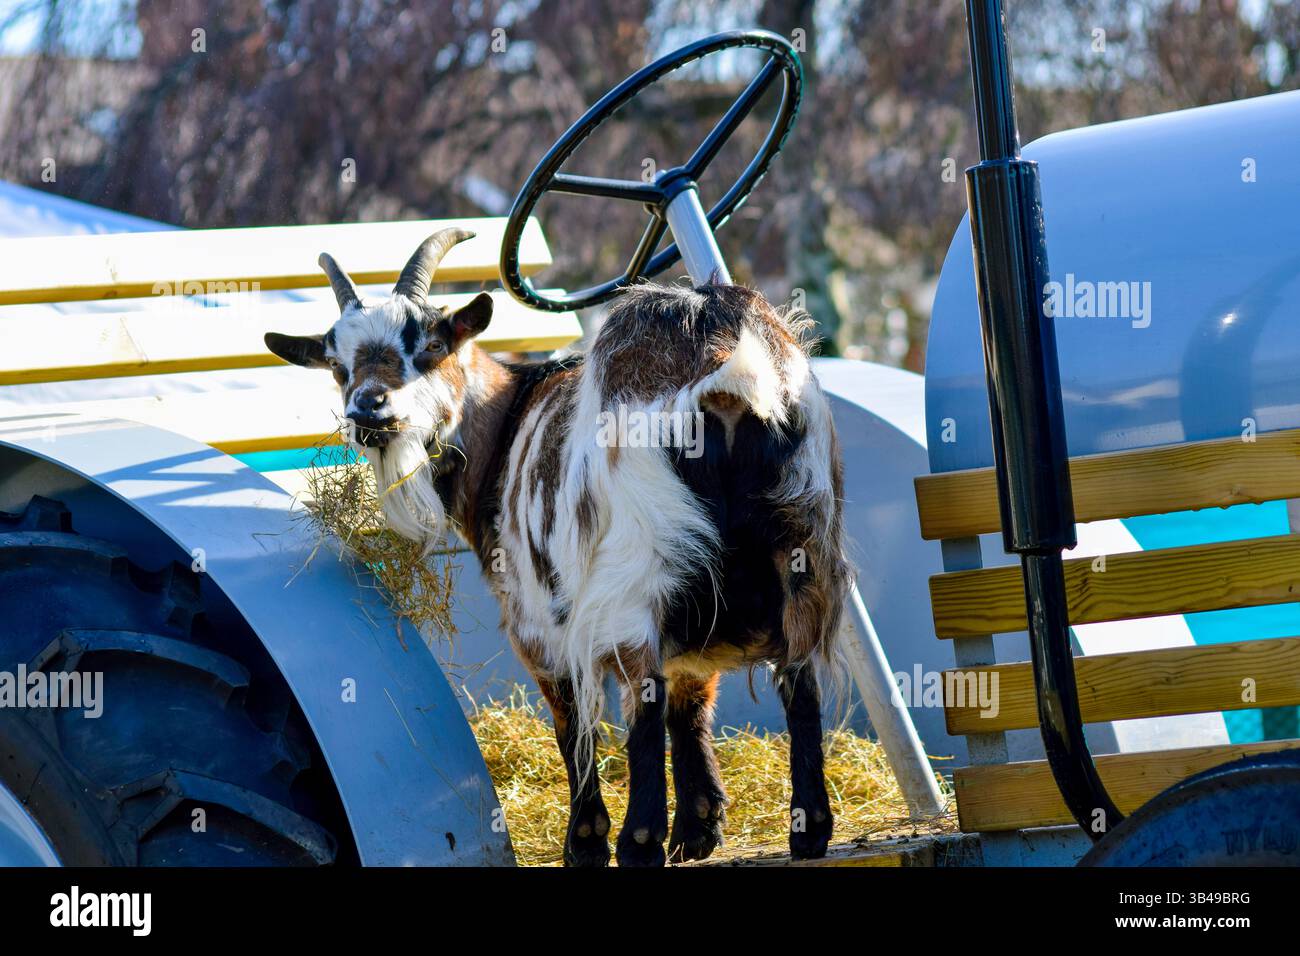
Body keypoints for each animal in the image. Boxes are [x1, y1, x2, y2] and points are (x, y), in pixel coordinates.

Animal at [265, 229, 851, 866]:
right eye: (336, 365)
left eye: (431, 345)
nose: (369, 409)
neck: (505, 427)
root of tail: (726, 373)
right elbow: (692, 697)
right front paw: (699, 829)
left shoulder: (538, 620)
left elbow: (572, 721)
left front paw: (587, 842)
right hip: (802, 545)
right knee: (799, 679)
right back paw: (810, 828)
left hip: (638, 570)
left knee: (644, 696)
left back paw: (638, 841)